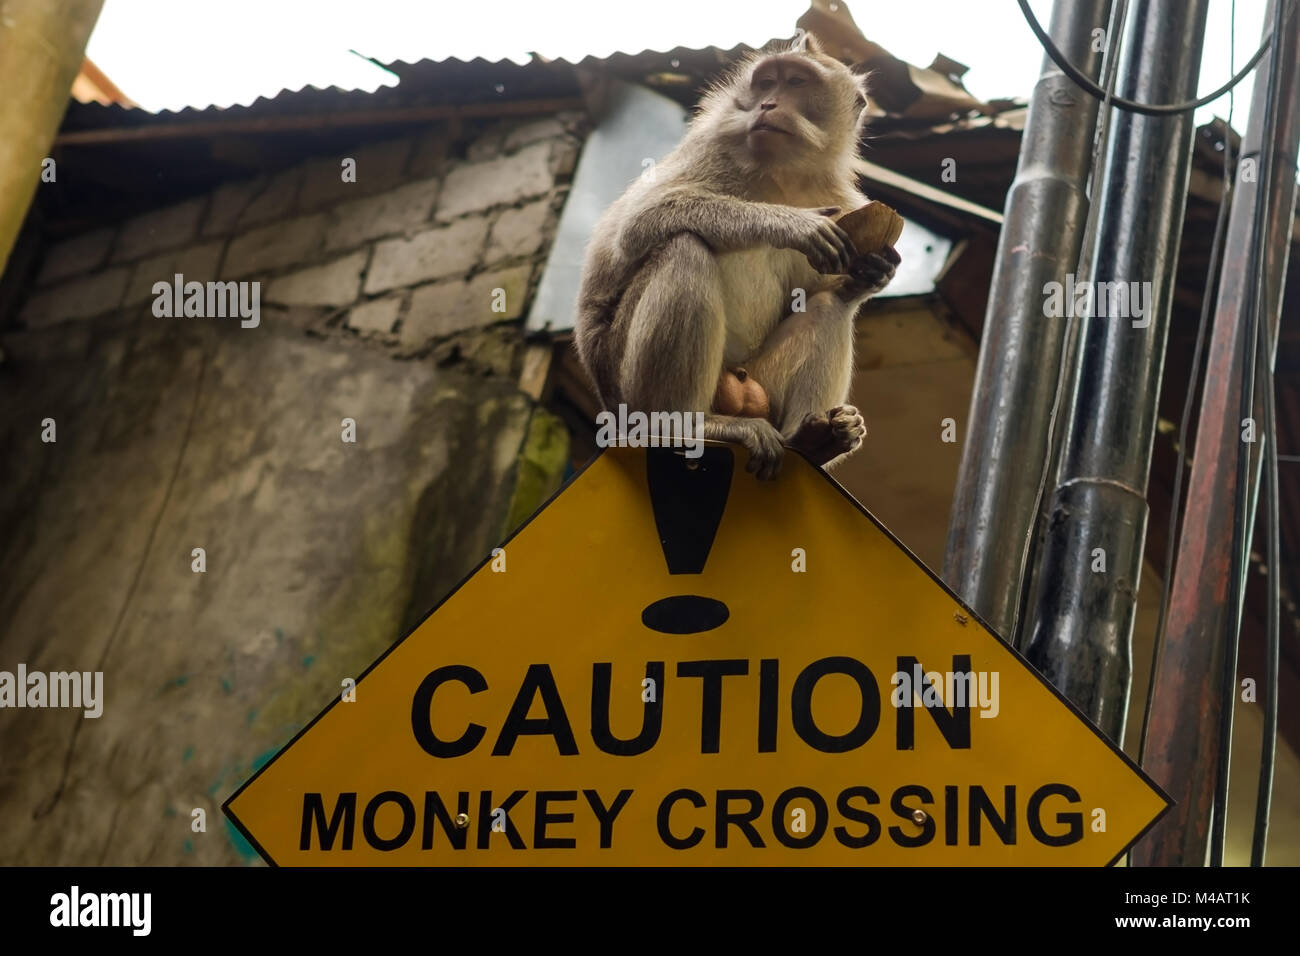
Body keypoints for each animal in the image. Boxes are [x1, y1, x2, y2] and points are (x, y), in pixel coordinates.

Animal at [574, 32, 900, 480]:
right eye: (766, 83)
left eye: (796, 82)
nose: (767, 104)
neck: (784, 173)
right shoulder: (711, 147)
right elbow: (637, 224)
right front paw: (789, 224)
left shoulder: (845, 200)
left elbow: (819, 291)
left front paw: (872, 273)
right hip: (624, 380)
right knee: (685, 248)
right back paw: (683, 426)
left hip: (757, 385)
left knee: (828, 307)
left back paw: (813, 442)